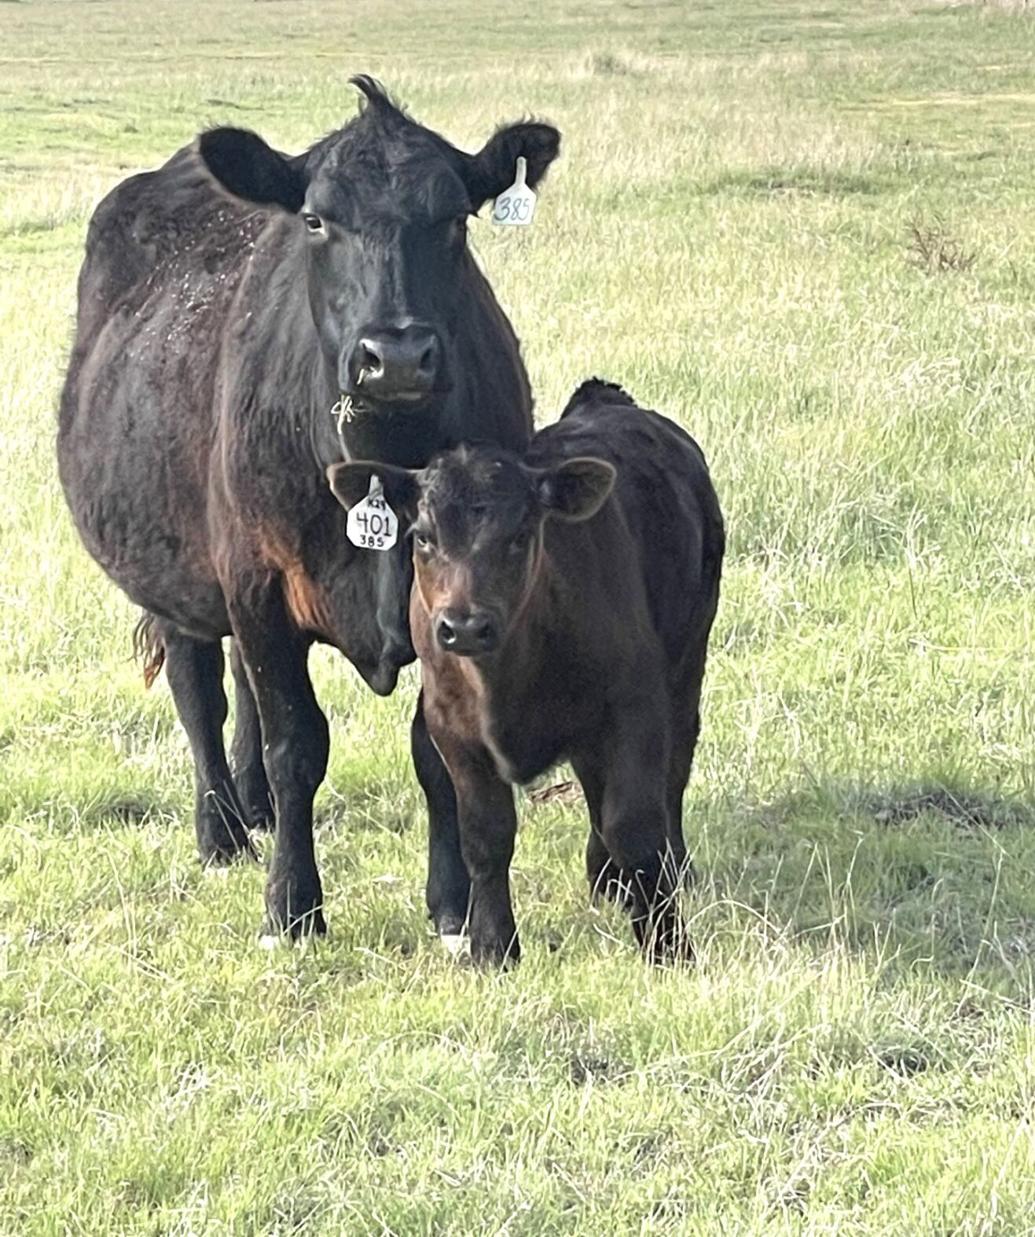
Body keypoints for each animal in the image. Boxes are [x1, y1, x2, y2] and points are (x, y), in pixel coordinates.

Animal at [57, 76, 560, 941]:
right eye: (318, 219)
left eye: (454, 217)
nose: (396, 356)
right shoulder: (257, 583)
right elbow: (296, 742)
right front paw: (291, 903)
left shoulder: (450, 598)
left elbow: (432, 750)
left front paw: (451, 901)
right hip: (180, 576)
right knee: (200, 689)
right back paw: (222, 828)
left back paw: (251, 808)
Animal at [327, 379, 725, 965]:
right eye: (422, 537)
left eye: (520, 534)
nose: (465, 627)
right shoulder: (453, 730)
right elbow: (485, 837)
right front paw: (493, 947)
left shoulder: (634, 705)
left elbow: (634, 825)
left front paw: (667, 945)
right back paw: (604, 878)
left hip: (687, 658)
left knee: (674, 769)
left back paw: (667, 869)